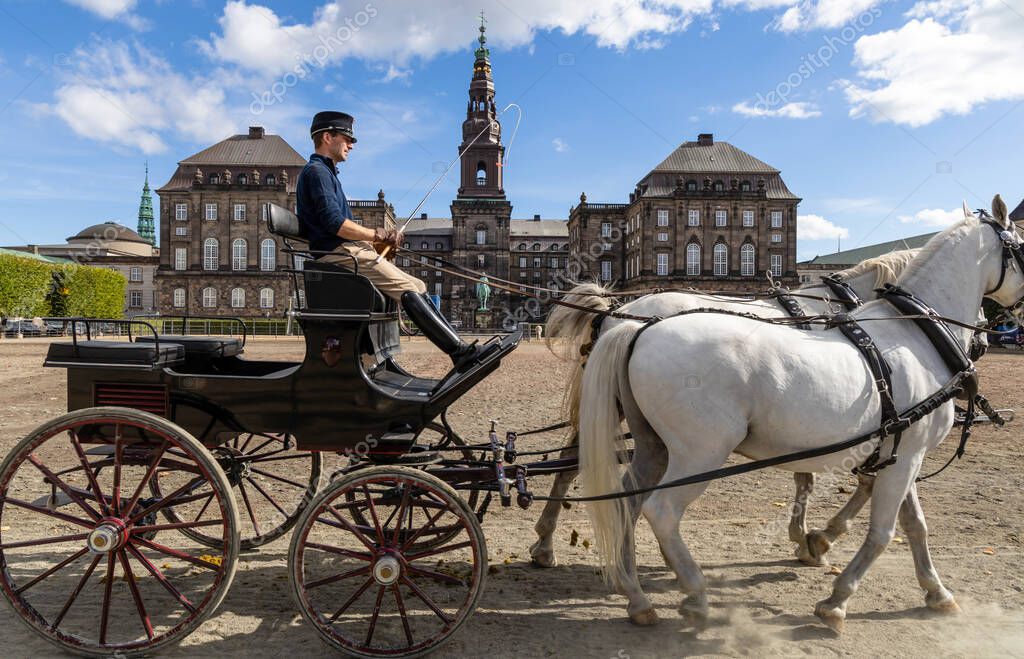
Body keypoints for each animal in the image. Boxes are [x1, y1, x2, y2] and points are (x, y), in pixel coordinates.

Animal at [533, 249, 925, 568]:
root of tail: (619, 311)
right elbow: (830, 479)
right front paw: (811, 538)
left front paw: (810, 537)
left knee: (572, 458)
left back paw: (545, 543)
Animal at [576, 196, 1022, 631]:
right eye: (1022, 247)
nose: (986, 338)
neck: (914, 333)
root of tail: (639, 326)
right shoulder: (903, 454)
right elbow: (881, 530)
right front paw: (834, 592)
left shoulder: (900, 449)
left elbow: (914, 524)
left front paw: (936, 590)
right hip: (700, 453)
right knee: (662, 512)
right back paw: (695, 594)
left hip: (653, 445)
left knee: (625, 503)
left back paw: (634, 593)